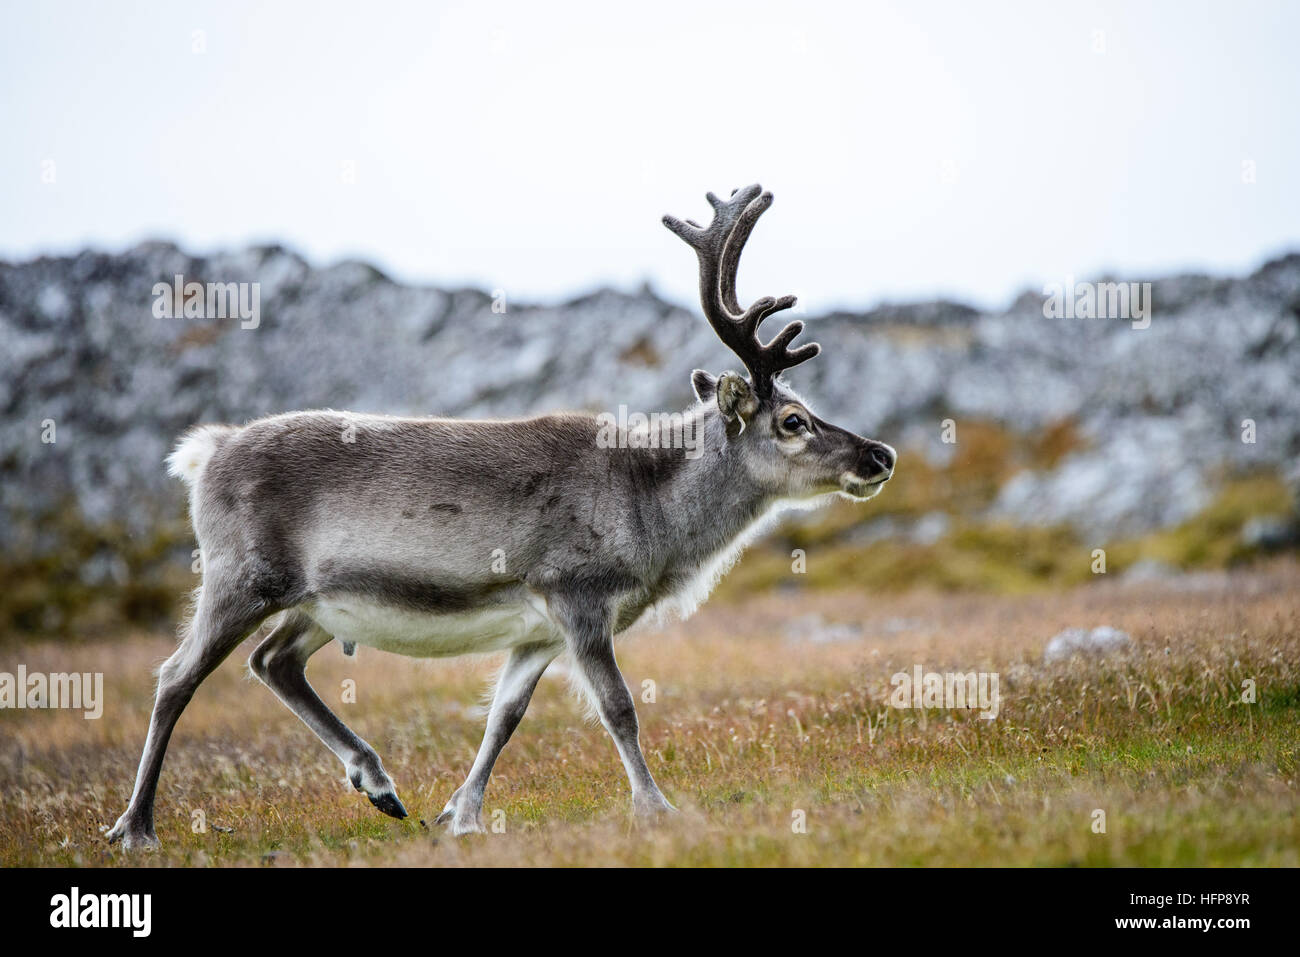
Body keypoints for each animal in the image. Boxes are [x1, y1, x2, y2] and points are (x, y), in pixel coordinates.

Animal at [106, 184, 896, 849]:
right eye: (793, 420)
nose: (880, 454)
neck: (652, 507)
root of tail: (204, 452)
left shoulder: (536, 629)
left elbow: (503, 718)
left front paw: (462, 813)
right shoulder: (578, 597)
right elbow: (618, 707)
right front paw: (656, 807)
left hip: (316, 603)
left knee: (272, 661)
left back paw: (379, 785)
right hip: (241, 576)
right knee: (176, 676)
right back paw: (136, 826)